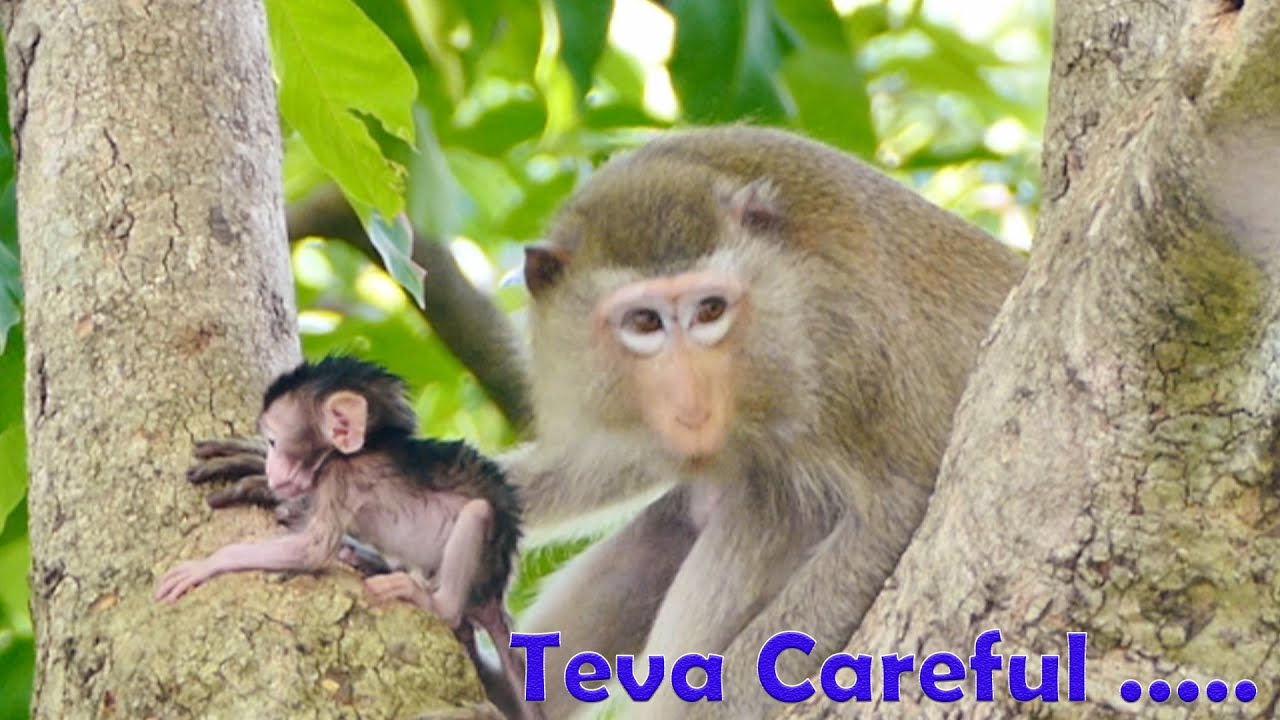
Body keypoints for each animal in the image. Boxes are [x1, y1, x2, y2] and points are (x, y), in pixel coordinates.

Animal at [155, 357, 540, 720]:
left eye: (274, 441)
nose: (270, 468)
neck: (355, 450)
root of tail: (494, 594)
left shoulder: (342, 475)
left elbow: (312, 551)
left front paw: (205, 565)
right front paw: (256, 472)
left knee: (476, 515)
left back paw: (432, 600)